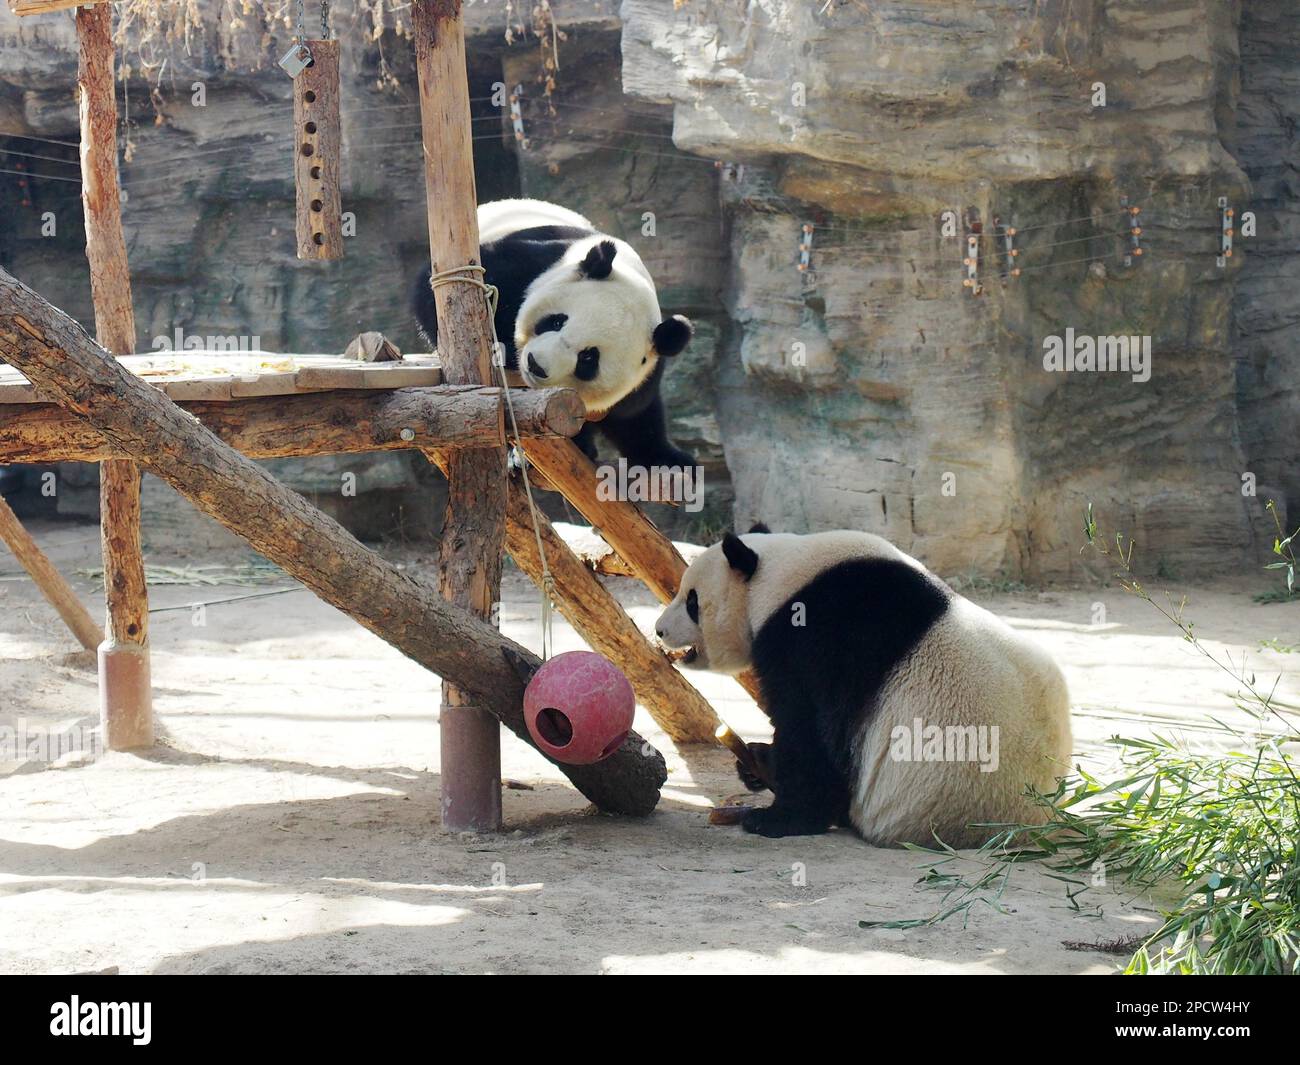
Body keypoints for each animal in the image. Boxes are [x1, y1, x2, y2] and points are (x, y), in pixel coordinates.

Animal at [413, 198, 695, 469]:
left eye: (588, 358)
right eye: (557, 321)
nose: (535, 365)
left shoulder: (644, 373)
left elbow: (635, 416)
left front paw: (669, 458)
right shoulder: (534, 264)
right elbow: (439, 288)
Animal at [655, 526, 1073, 845]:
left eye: (691, 600)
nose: (659, 629)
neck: (781, 580)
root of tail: (1021, 825)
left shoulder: (821, 639)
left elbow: (811, 731)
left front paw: (778, 817)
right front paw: (754, 762)